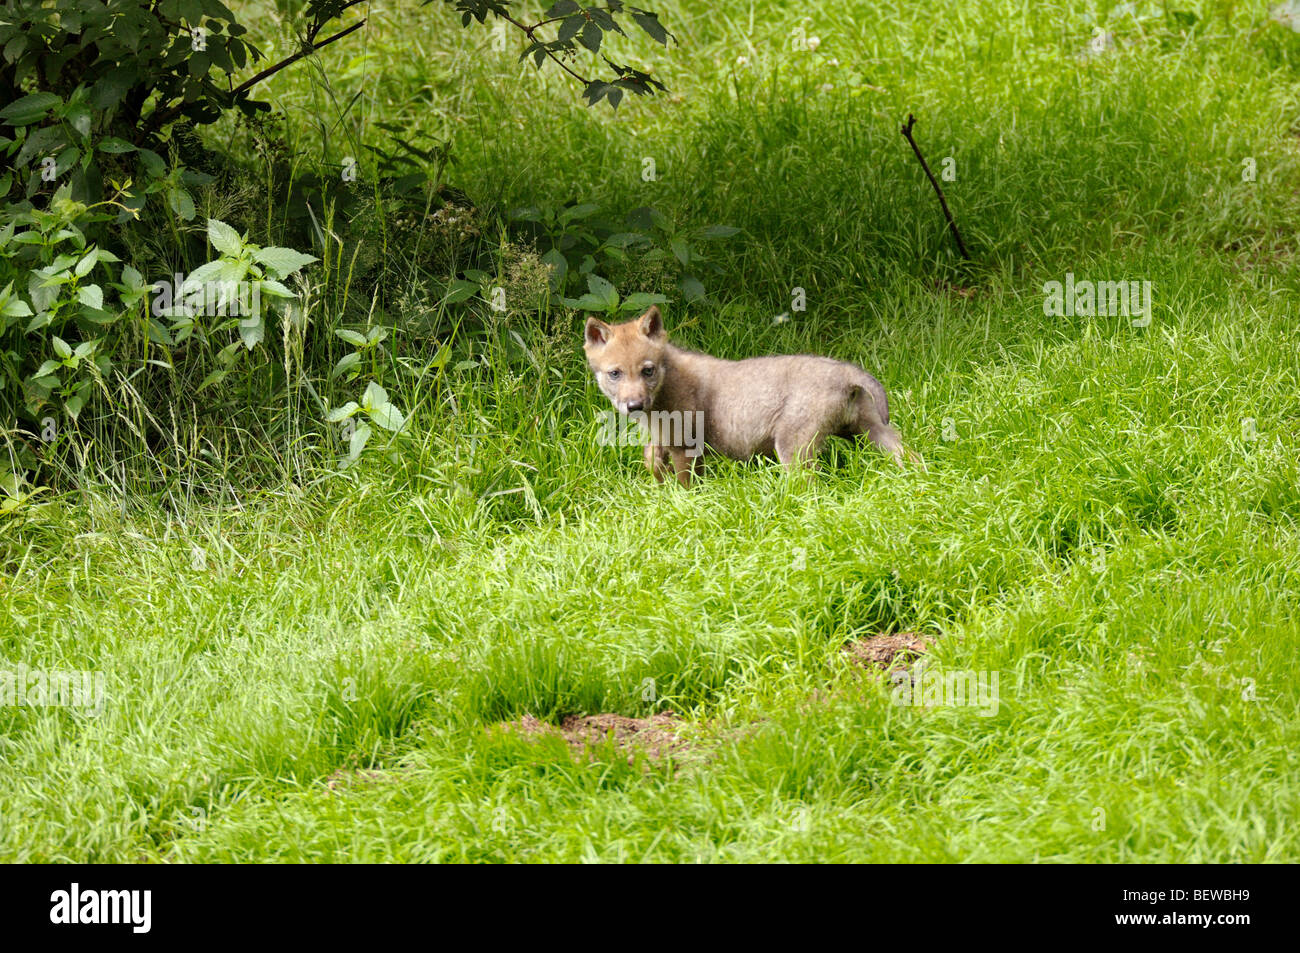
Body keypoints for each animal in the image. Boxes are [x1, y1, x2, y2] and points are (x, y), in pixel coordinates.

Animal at [584, 306, 919, 486]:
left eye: (647, 370)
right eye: (615, 374)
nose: (634, 405)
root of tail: (846, 372)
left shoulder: (686, 446)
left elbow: (686, 485)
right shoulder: (663, 438)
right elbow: (651, 459)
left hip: (793, 448)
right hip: (870, 431)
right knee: (909, 456)